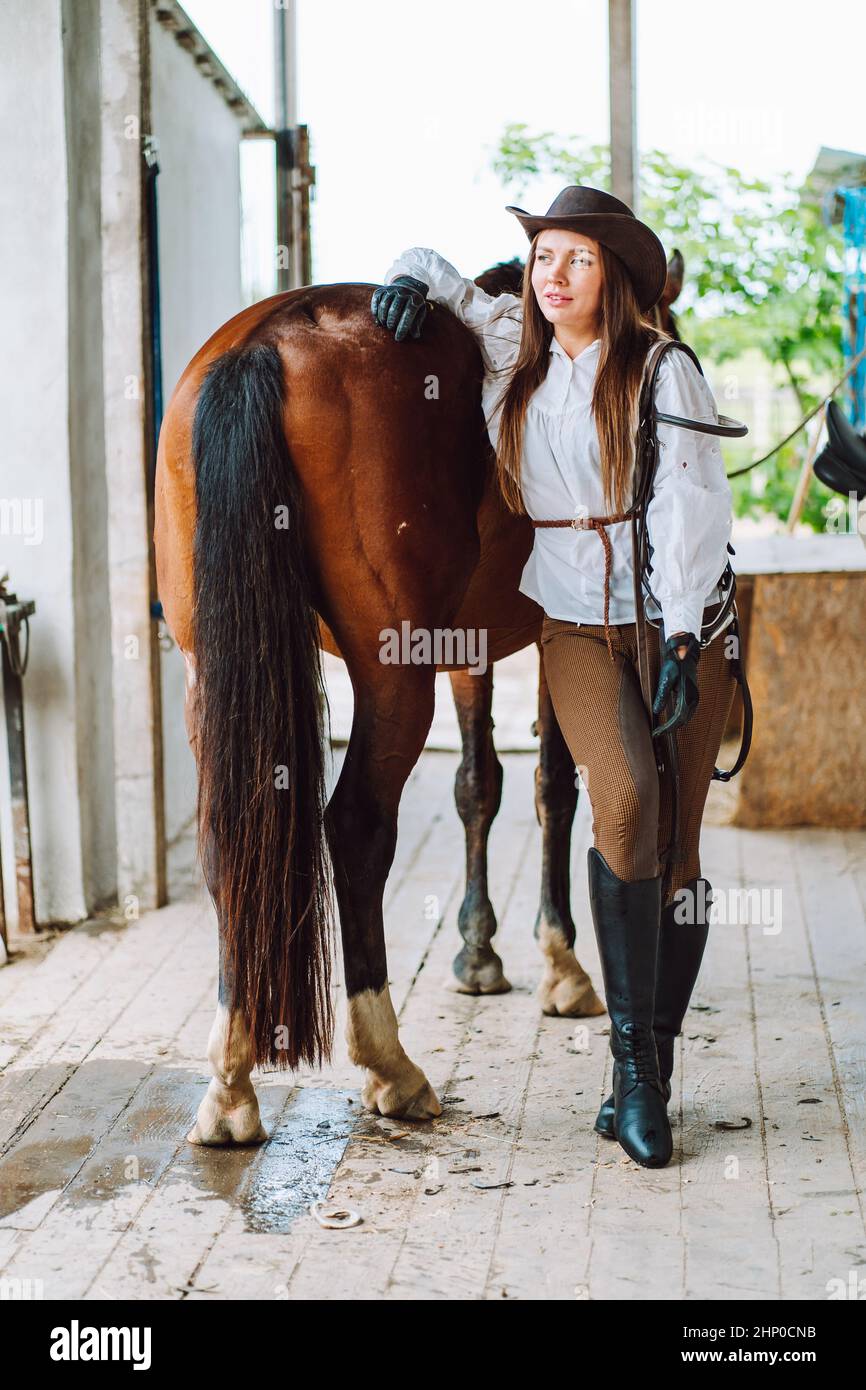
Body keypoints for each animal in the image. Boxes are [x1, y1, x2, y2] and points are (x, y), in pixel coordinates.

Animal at [153, 266, 606, 1147]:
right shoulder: (558, 629)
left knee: (230, 836)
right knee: (358, 827)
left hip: (208, 669)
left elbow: (479, 784)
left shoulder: (469, 647)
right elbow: (553, 788)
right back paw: (390, 1065)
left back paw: (230, 1081)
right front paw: (561, 967)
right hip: (395, 673)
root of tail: (268, 343)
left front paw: (479, 954)